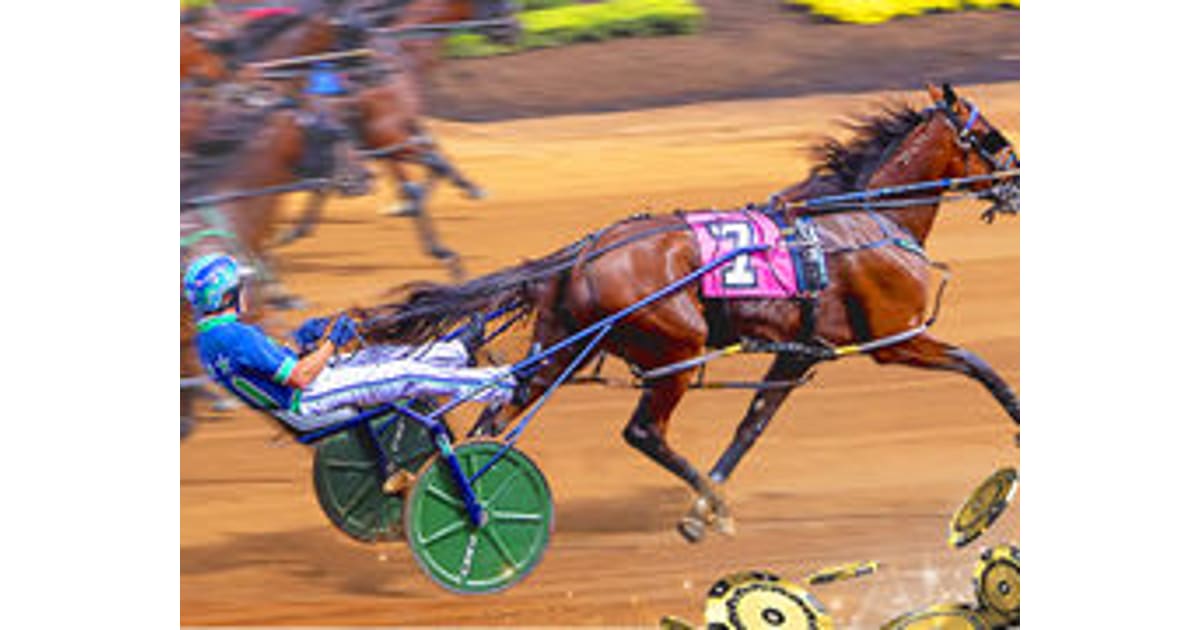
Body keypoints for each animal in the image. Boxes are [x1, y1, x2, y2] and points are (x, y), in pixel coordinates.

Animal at [354, 83, 1020, 541]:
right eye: (993, 138)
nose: (1017, 181)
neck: (865, 219)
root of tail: (582, 253)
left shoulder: (797, 353)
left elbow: (751, 425)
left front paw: (703, 510)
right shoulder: (897, 339)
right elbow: (978, 363)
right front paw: (1018, 420)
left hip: (565, 348)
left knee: (497, 415)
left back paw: (433, 489)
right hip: (673, 348)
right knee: (642, 431)